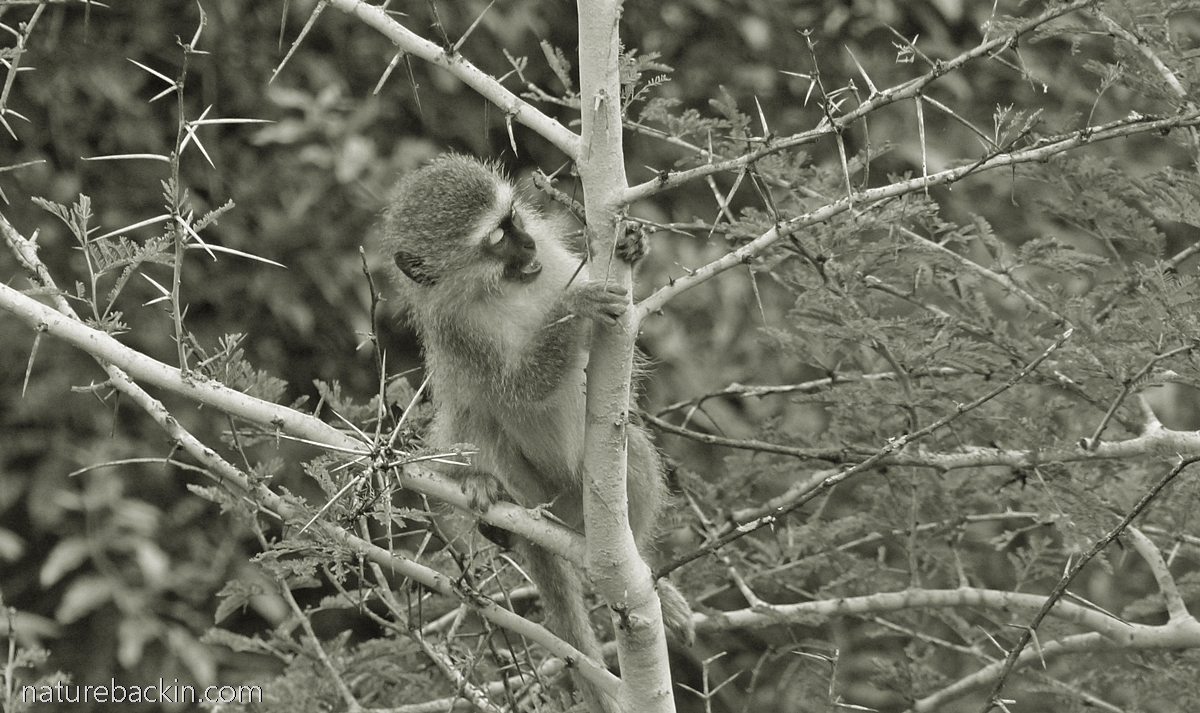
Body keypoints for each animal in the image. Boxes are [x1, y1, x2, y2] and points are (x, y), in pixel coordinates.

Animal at [378, 154, 693, 713]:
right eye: (496, 239)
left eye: (514, 221)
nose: (524, 246)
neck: (500, 289)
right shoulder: (457, 327)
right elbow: (520, 388)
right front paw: (577, 308)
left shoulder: (549, 252)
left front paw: (634, 246)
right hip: (540, 495)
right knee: (483, 421)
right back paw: (487, 494)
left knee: (631, 451)